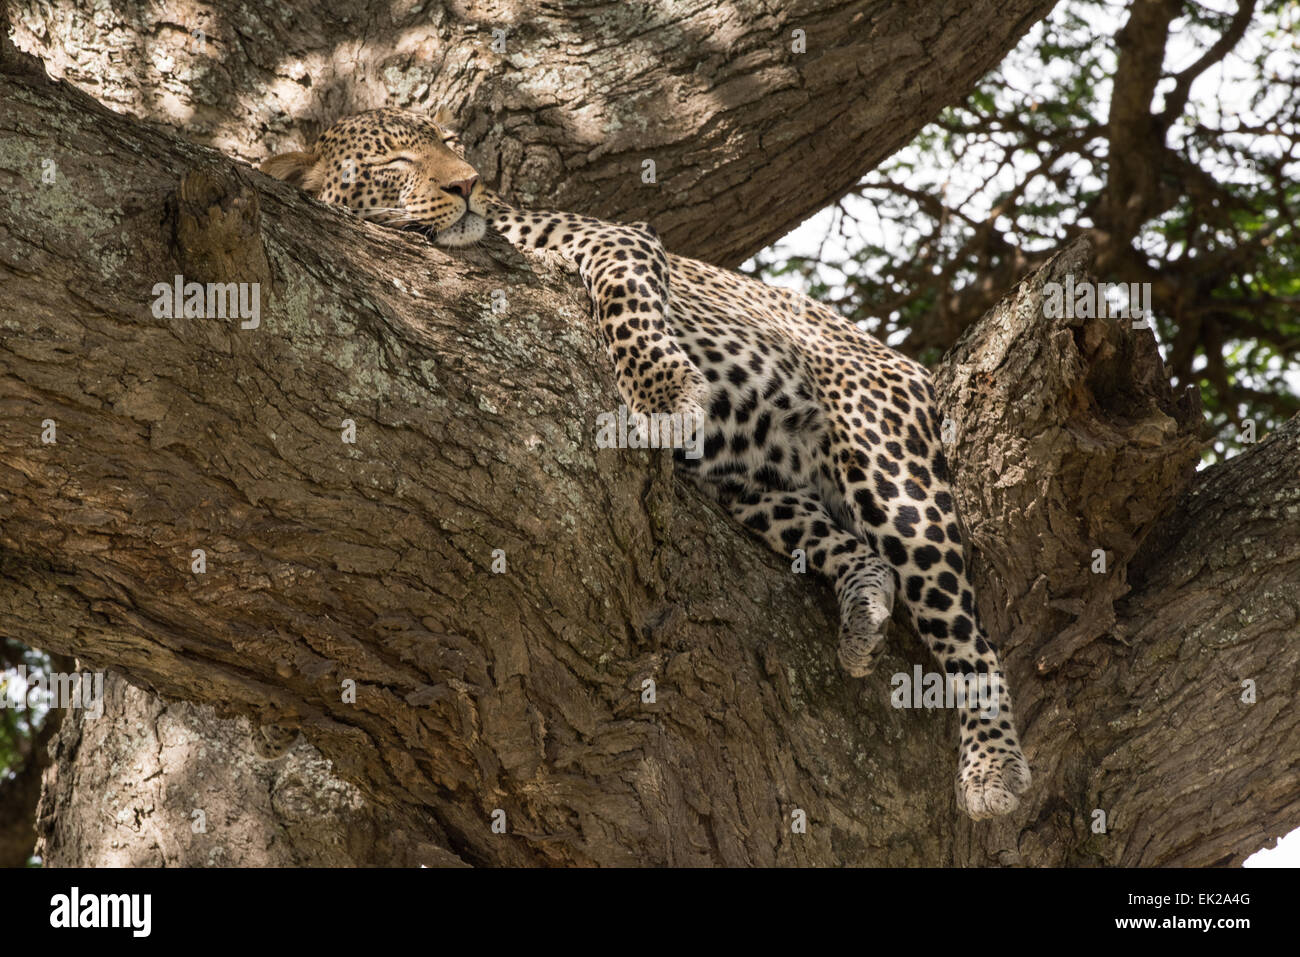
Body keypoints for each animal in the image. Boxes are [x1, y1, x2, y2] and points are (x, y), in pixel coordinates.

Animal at [261, 107, 1032, 819]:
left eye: (450, 144)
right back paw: (863, 608)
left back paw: (992, 764)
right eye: (396, 161)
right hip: (755, 487)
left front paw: (662, 392)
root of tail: (907, 365)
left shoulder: (620, 238)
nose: (469, 185)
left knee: (969, 636)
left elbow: (625, 301)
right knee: (853, 550)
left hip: (885, 456)